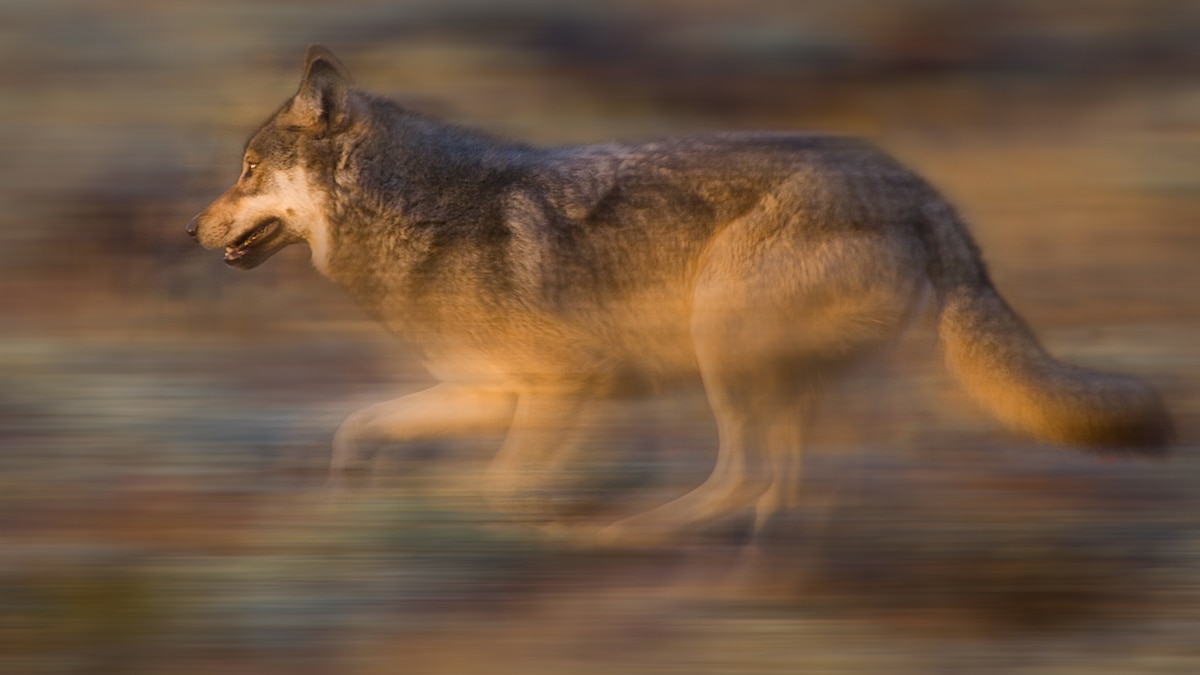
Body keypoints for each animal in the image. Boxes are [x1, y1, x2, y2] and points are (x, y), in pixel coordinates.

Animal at [188, 46, 1170, 542]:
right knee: (801, 481)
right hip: (781, 376)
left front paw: (520, 528)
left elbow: (501, 486)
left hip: (722, 347)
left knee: (750, 476)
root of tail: (918, 186)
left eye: (246, 171)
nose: (188, 231)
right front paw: (344, 498)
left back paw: (642, 537)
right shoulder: (491, 390)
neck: (418, 212)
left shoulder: (566, 382)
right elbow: (360, 427)